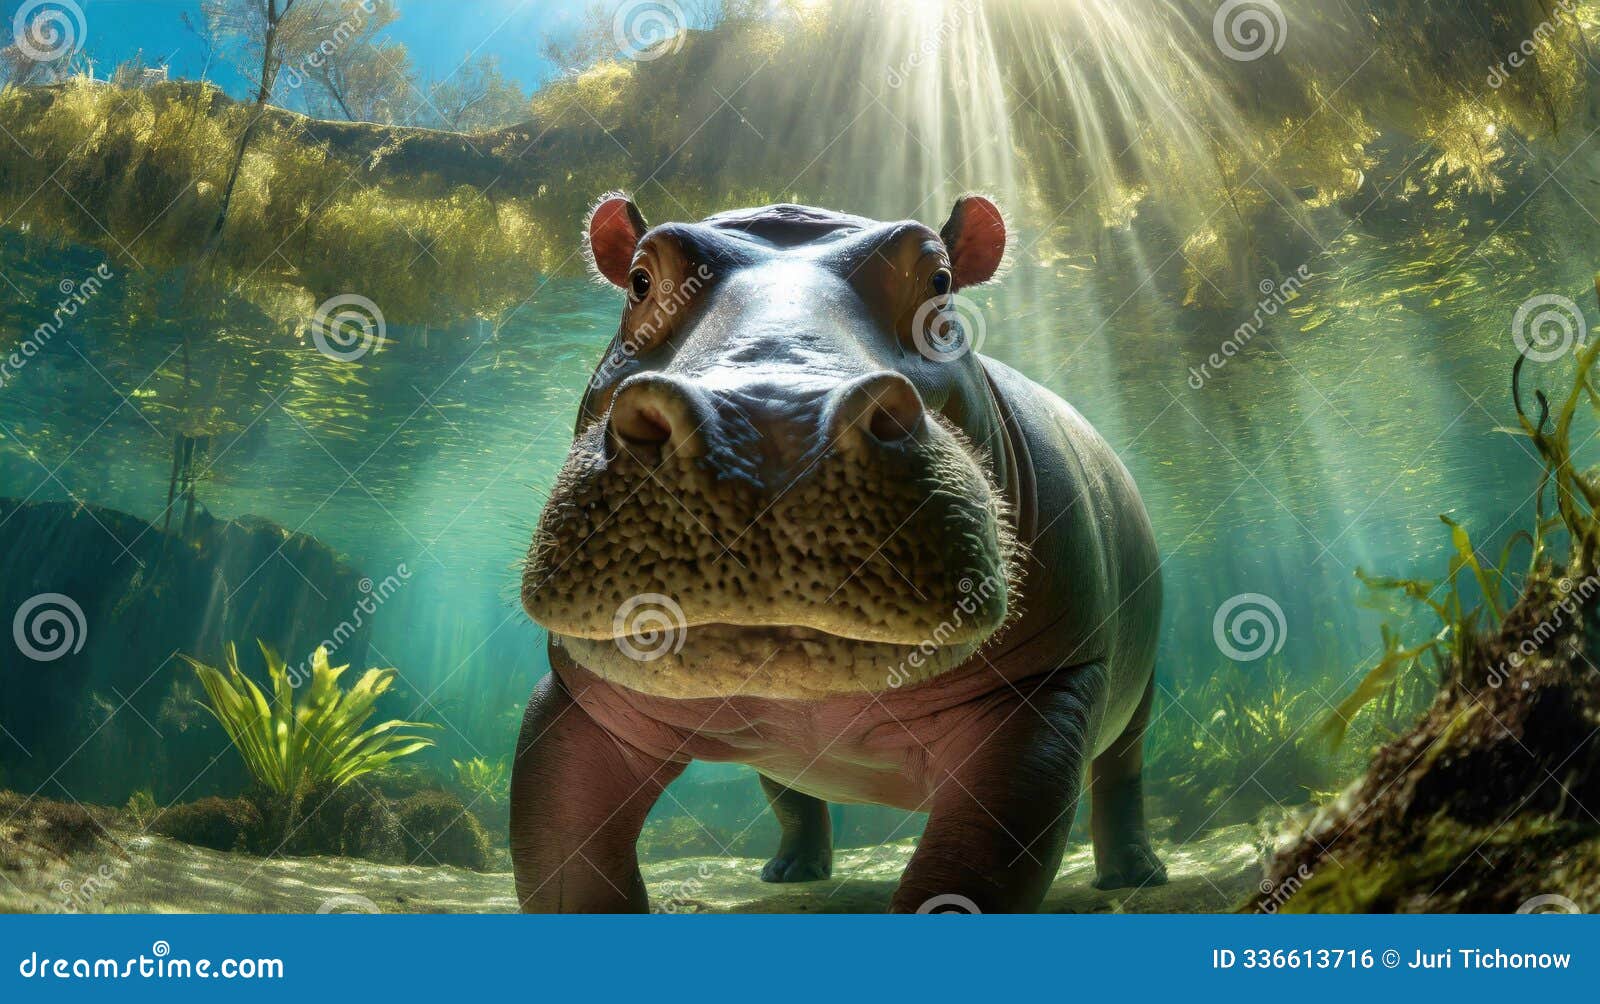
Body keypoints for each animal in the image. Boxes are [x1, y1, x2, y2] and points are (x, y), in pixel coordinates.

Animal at [511, 193, 1164, 913]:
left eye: (939, 282)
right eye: (639, 279)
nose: (770, 424)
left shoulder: (1046, 693)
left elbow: (969, 873)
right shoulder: (579, 705)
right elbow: (566, 862)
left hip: (1140, 687)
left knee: (1122, 771)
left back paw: (1134, 875)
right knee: (789, 792)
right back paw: (791, 872)